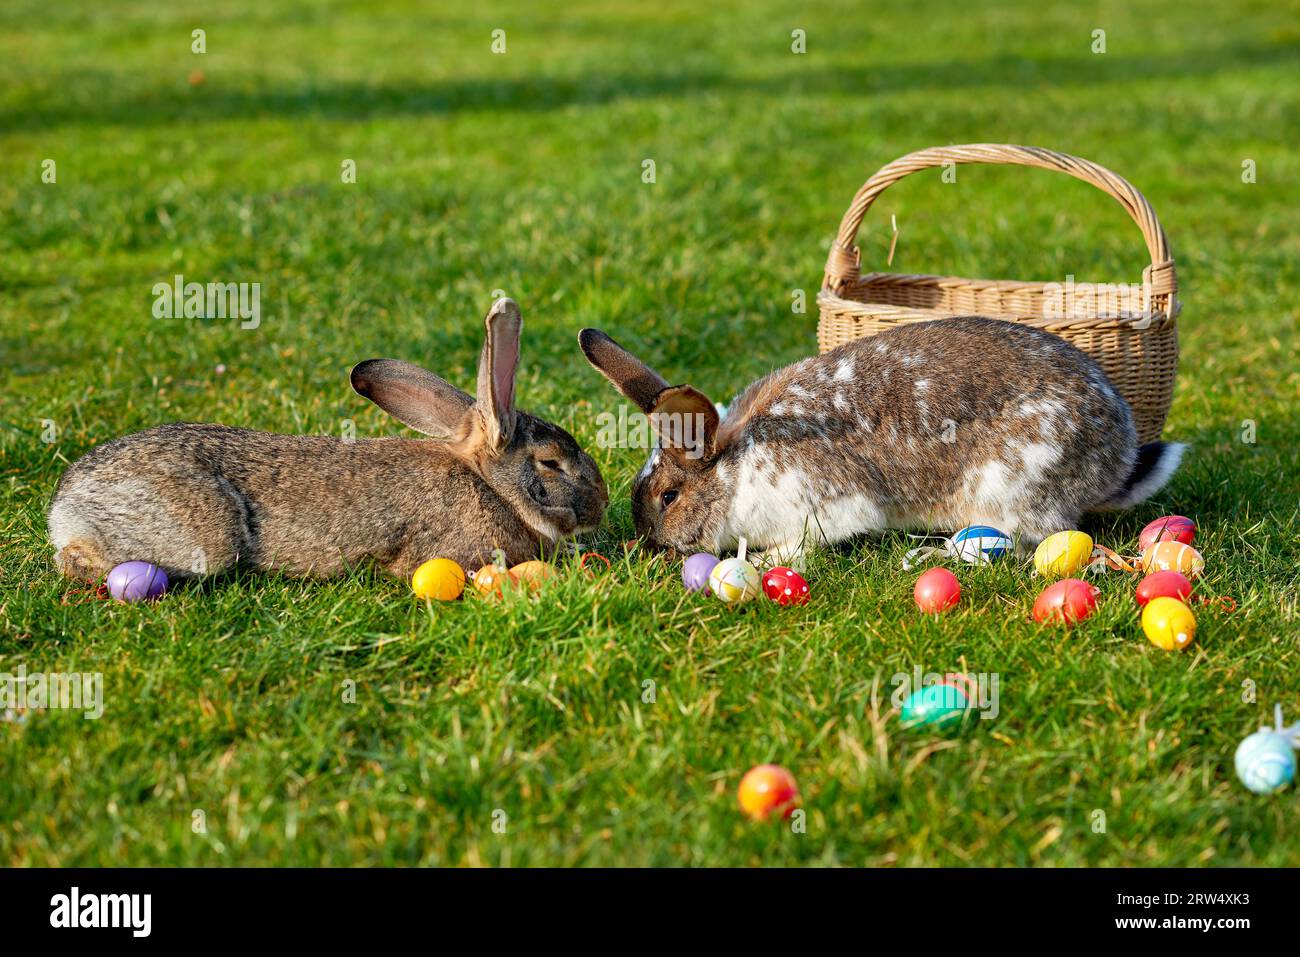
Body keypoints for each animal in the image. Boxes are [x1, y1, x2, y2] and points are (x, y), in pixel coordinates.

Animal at [578, 316, 1184, 568]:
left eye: (669, 498)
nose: (651, 546)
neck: (735, 467)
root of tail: (1117, 454)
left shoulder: (825, 505)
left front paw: (770, 558)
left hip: (1015, 489)